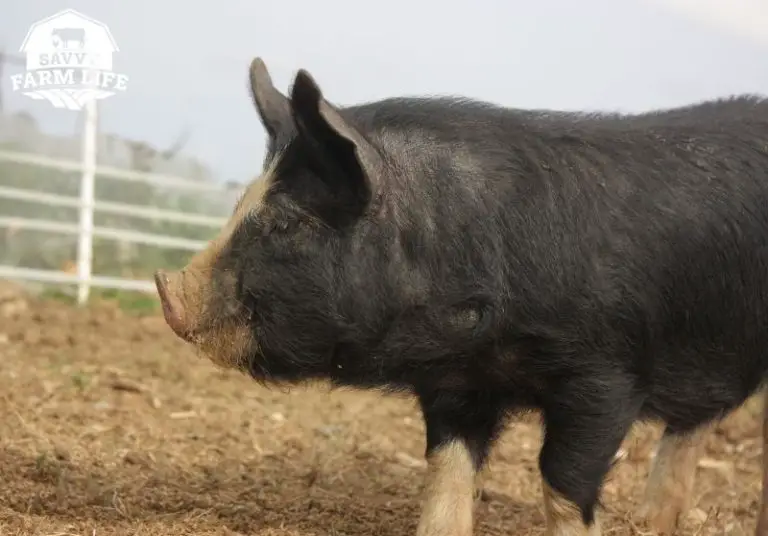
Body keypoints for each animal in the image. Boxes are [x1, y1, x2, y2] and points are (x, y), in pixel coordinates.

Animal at [154, 56, 768, 536]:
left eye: (286, 223)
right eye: (242, 205)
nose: (167, 291)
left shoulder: (606, 375)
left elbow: (565, 481)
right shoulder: (458, 382)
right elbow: (446, 472)